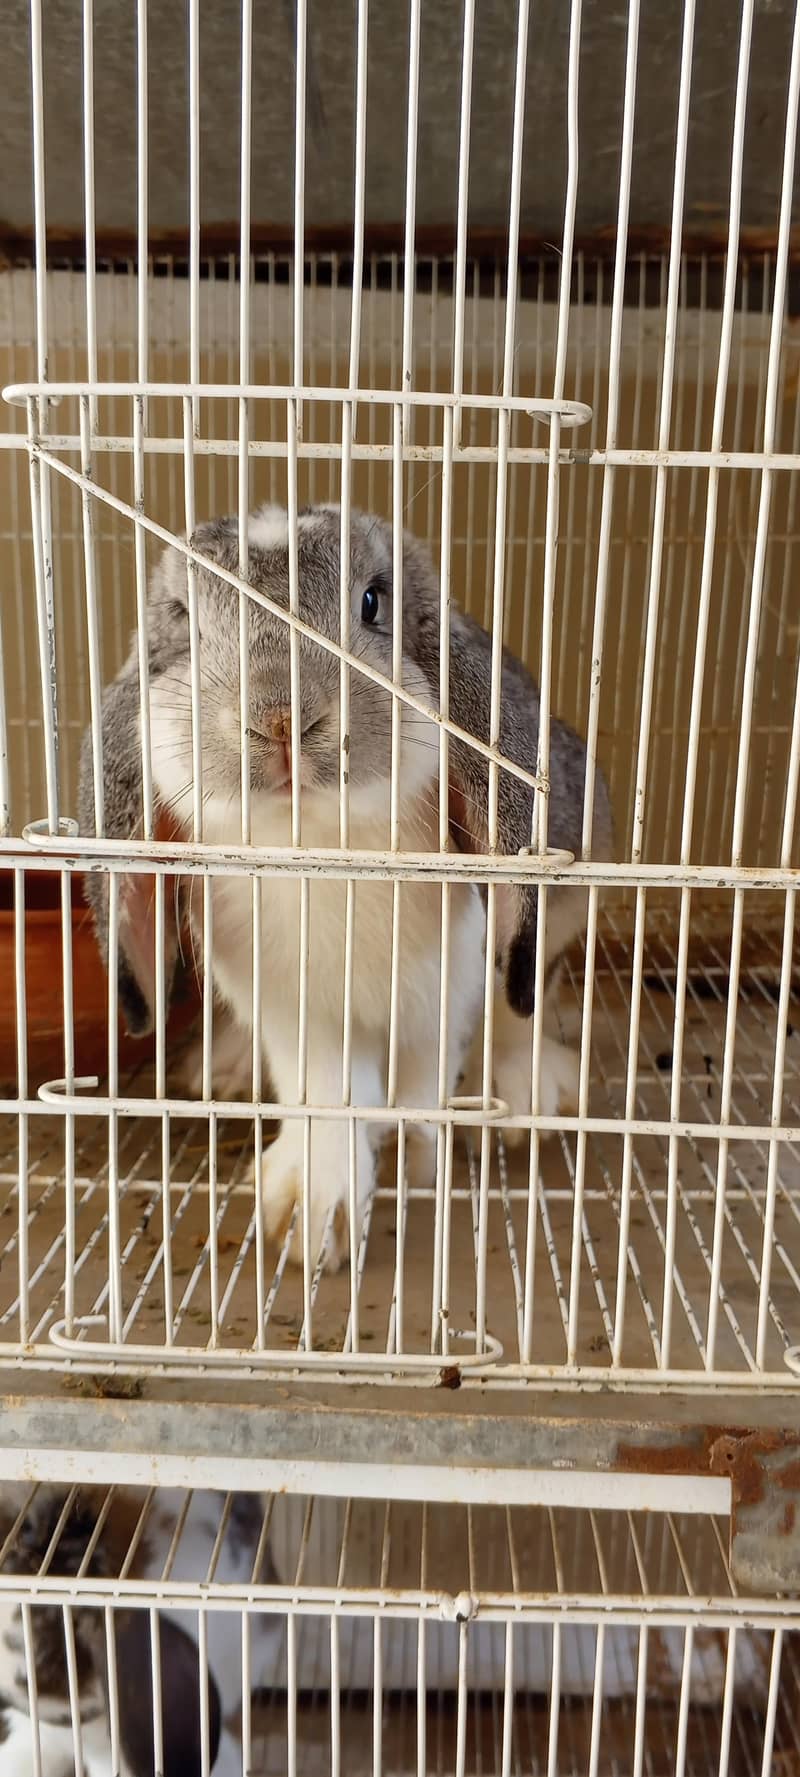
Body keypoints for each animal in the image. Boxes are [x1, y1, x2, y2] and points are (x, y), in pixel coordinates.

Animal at [78, 503, 613, 1268]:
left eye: (372, 602)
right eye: (185, 621)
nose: (279, 717)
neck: (319, 850)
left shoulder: (441, 987)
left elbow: (422, 1081)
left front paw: (416, 1159)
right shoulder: (291, 1007)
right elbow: (330, 1096)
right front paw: (312, 1217)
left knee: (522, 994)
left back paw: (527, 1090)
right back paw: (226, 1068)